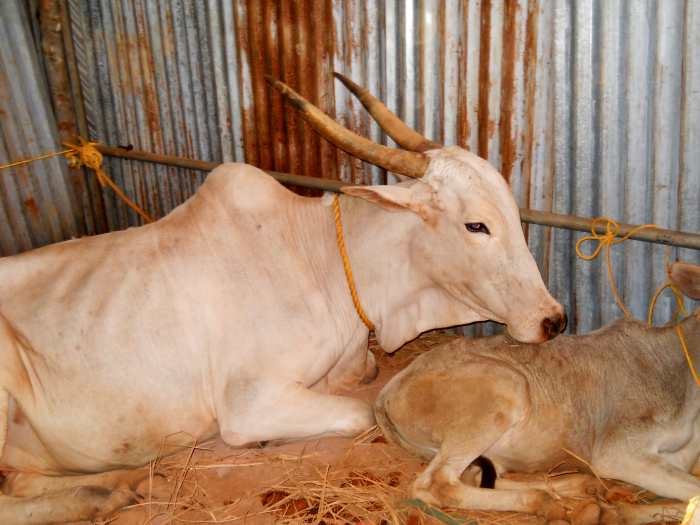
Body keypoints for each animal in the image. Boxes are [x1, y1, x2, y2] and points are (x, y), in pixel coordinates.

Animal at [0, 75, 564, 523]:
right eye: (476, 226)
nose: (554, 319)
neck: (327, 265)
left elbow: (360, 376)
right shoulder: (249, 402)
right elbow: (357, 413)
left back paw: (117, 484)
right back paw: (100, 497)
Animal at [375, 262, 700, 524]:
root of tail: (390, 388)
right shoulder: (620, 451)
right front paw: (617, 513)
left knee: (478, 476)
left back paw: (583, 488)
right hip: (505, 389)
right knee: (437, 483)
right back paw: (548, 502)